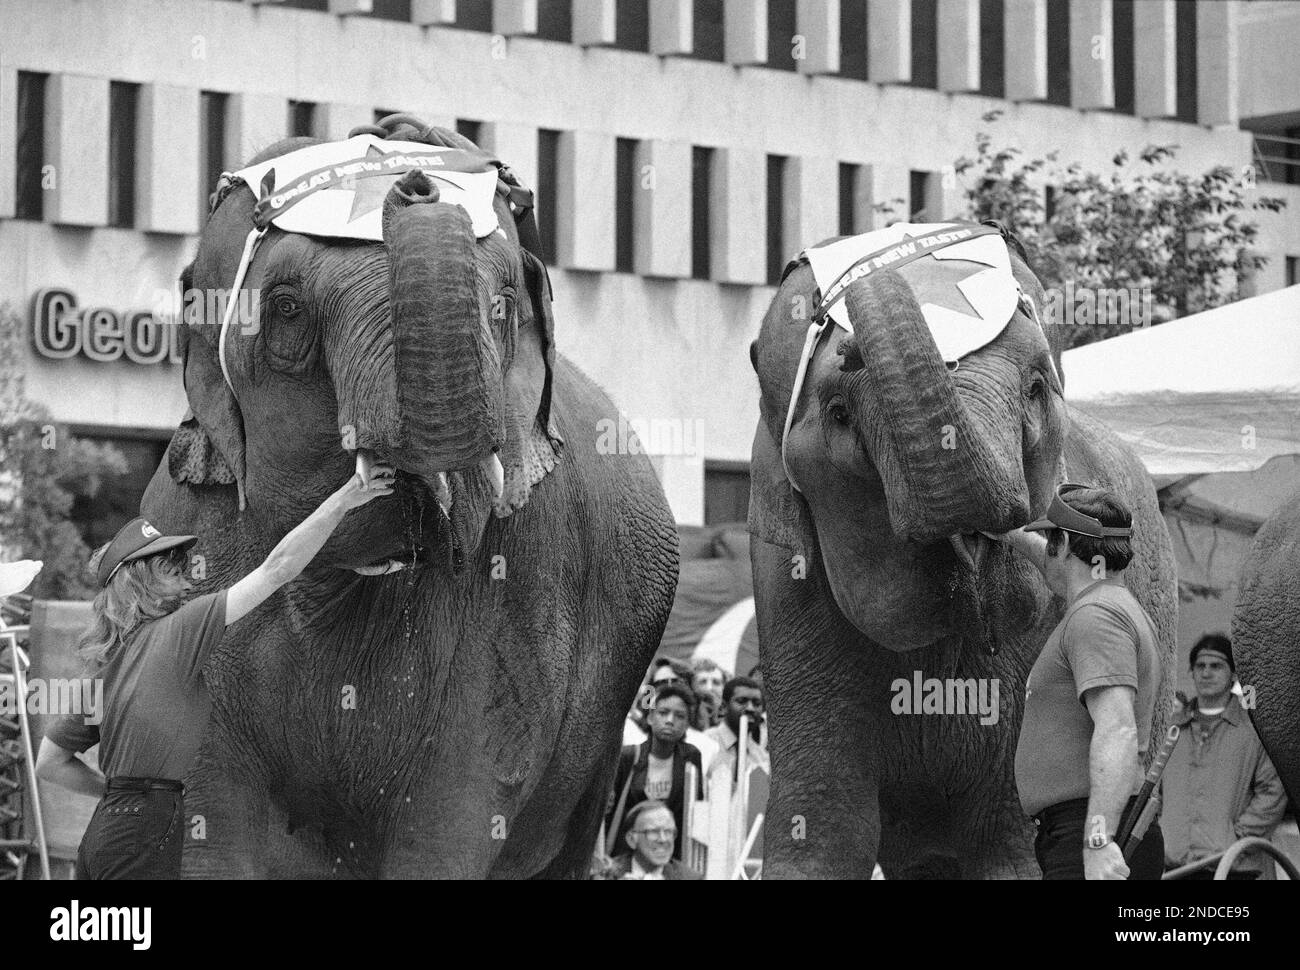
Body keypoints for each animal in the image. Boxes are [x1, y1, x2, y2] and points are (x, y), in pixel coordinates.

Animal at [139, 116, 679, 878]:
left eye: (501, 306)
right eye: (287, 309)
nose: (414, 174)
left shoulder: (529, 584)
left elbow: (454, 811)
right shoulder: (198, 567)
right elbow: (216, 814)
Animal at [747, 224, 1178, 879]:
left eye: (1035, 388)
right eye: (840, 413)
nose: (851, 350)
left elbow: (1002, 834)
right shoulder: (786, 586)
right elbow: (823, 825)